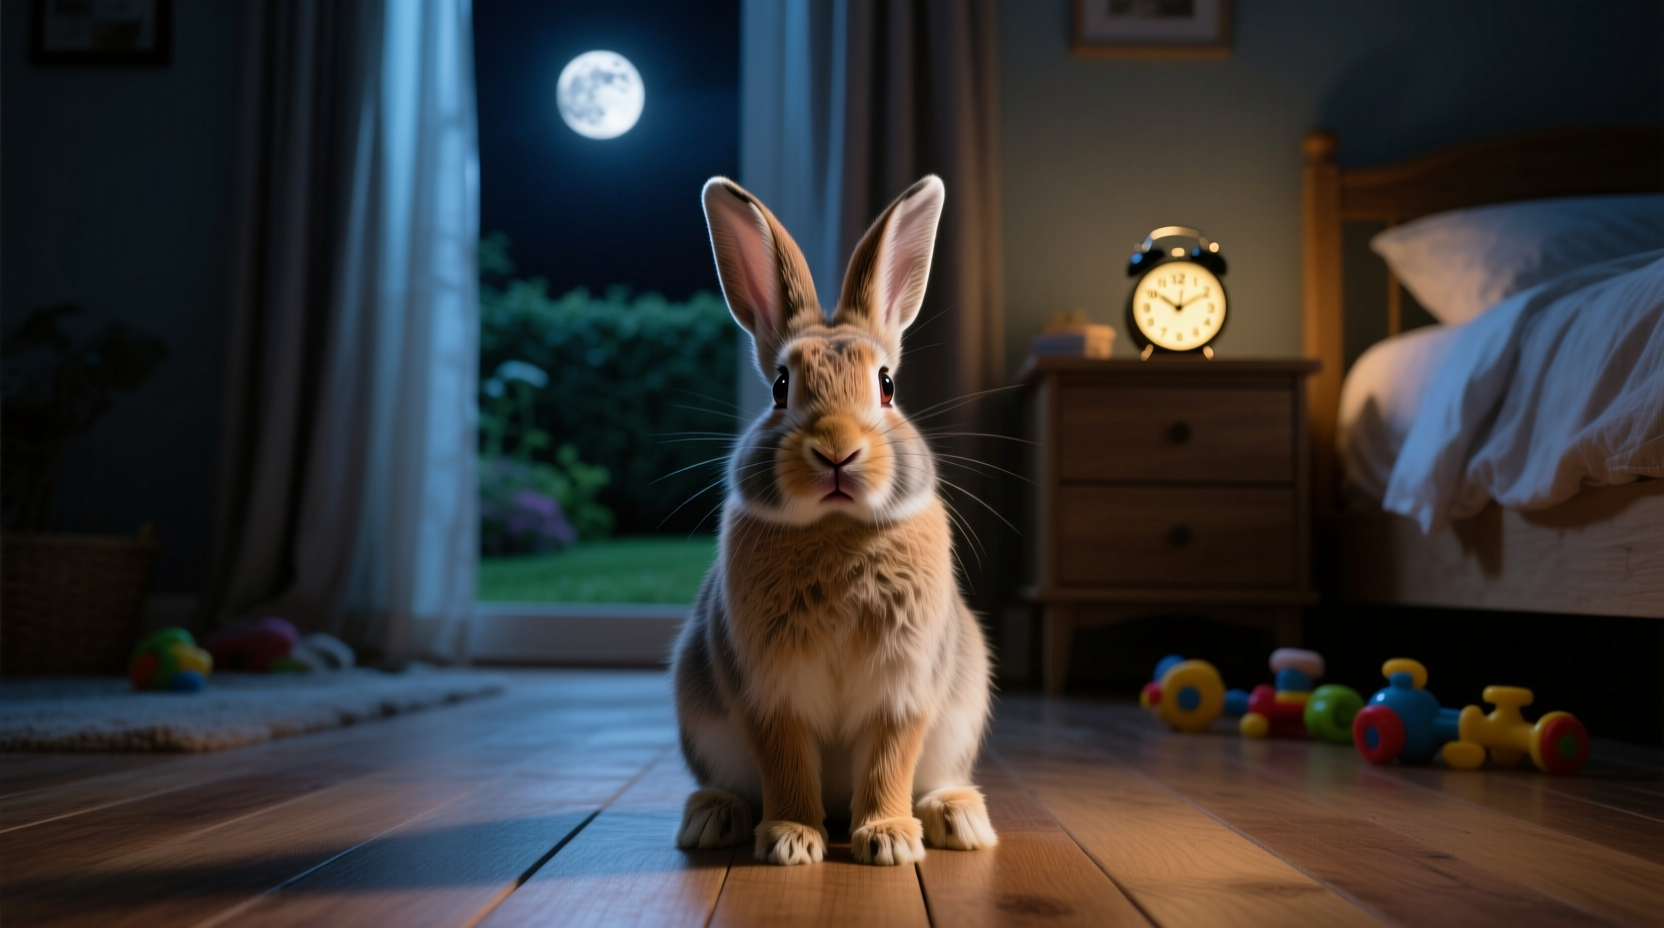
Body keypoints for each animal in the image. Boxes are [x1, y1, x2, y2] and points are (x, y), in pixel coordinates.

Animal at [671, 174, 998, 867]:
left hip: (959, 720)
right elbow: (787, 763)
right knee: (732, 784)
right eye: (779, 386)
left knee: (934, 778)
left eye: (887, 385)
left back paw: (958, 820)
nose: (837, 452)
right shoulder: (768, 693)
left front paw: (890, 841)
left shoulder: (906, 689)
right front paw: (793, 841)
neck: (838, 531)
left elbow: (891, 759)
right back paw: (713, 818)